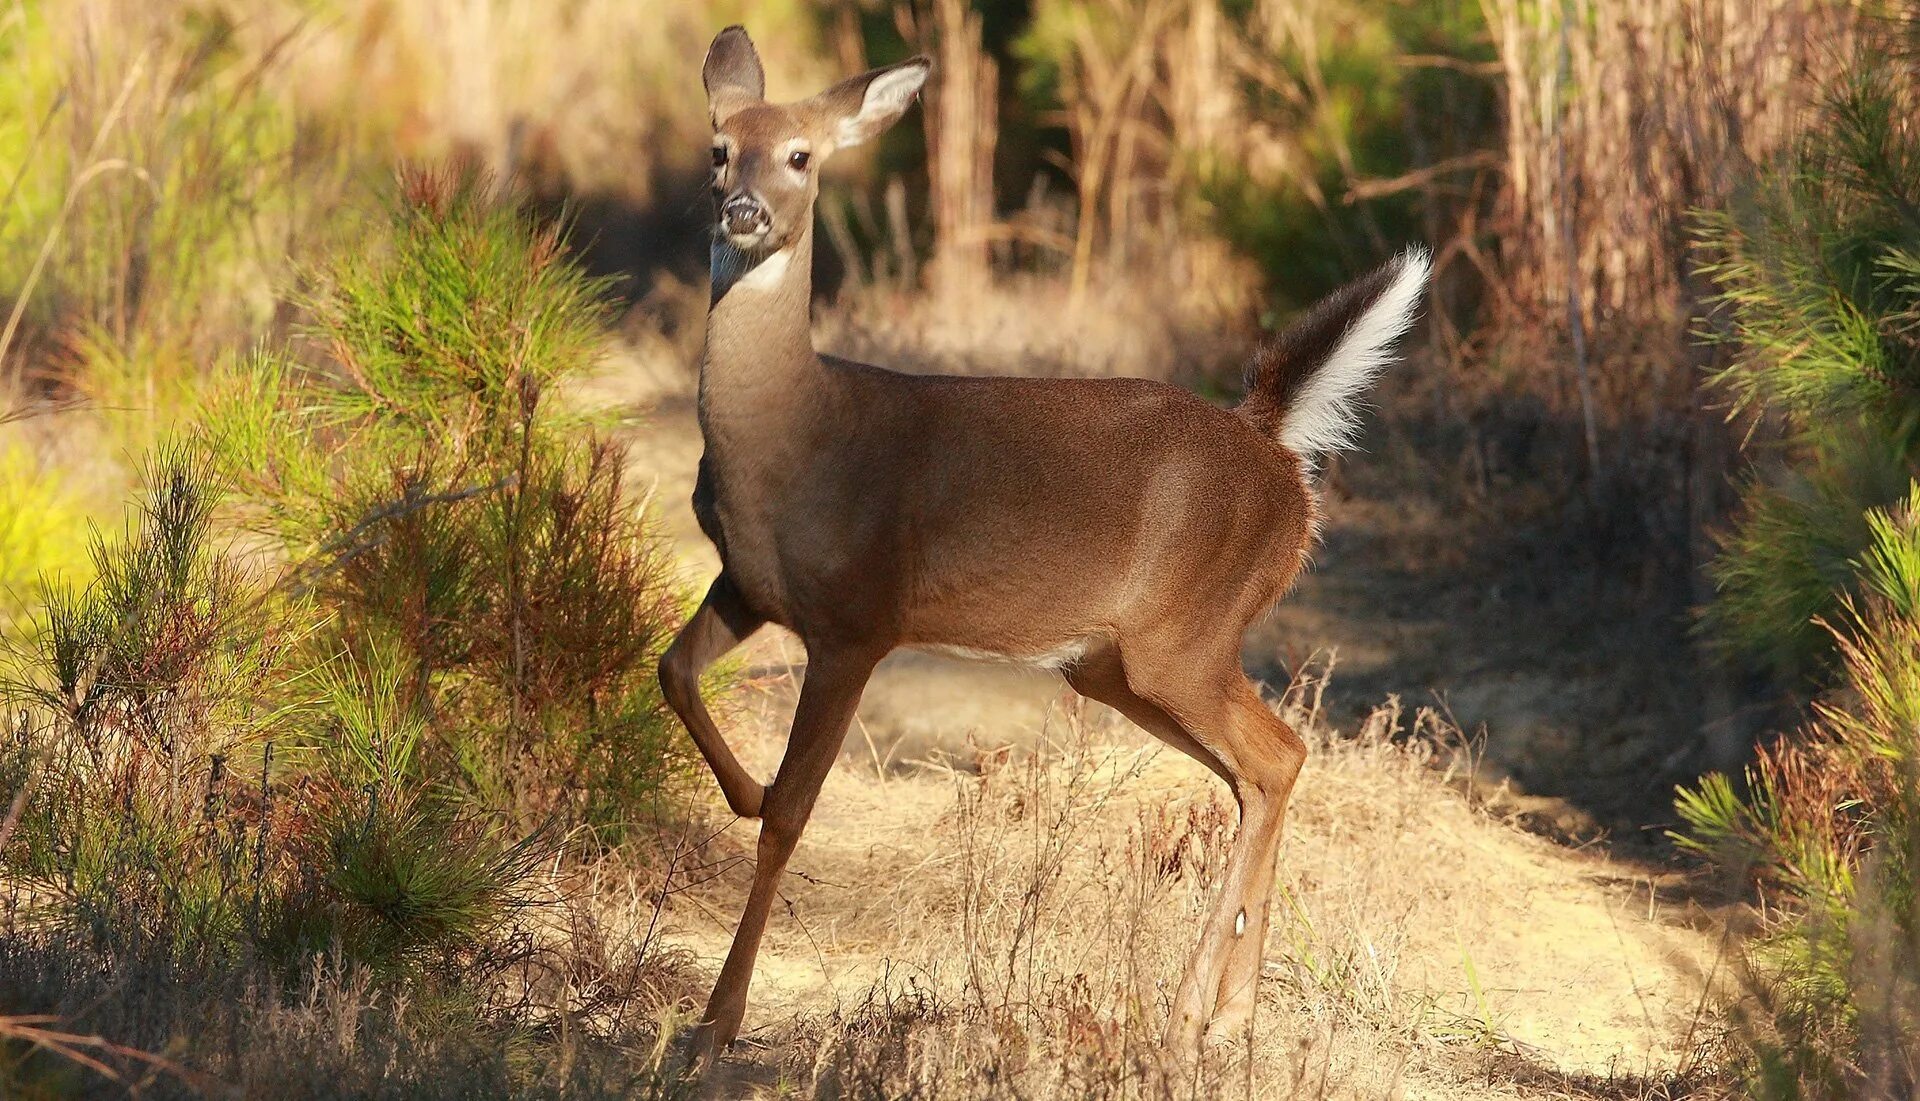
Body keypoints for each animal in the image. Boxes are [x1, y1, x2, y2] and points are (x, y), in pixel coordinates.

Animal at [656, 24, 1431, 1069]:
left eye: (802, 156)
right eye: (719, 149)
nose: (742, 211)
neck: (792, 442)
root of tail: (1277, 449)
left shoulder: (860, 616)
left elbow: (791, 815)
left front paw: (717, 1021)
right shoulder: (746, 583)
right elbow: (673, 671)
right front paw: (741, 787)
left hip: (1185, 632)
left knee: (1275, 755)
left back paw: (1188, 1020)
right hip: (1112, 662)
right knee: (1262, 766)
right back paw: (1229, 1015)